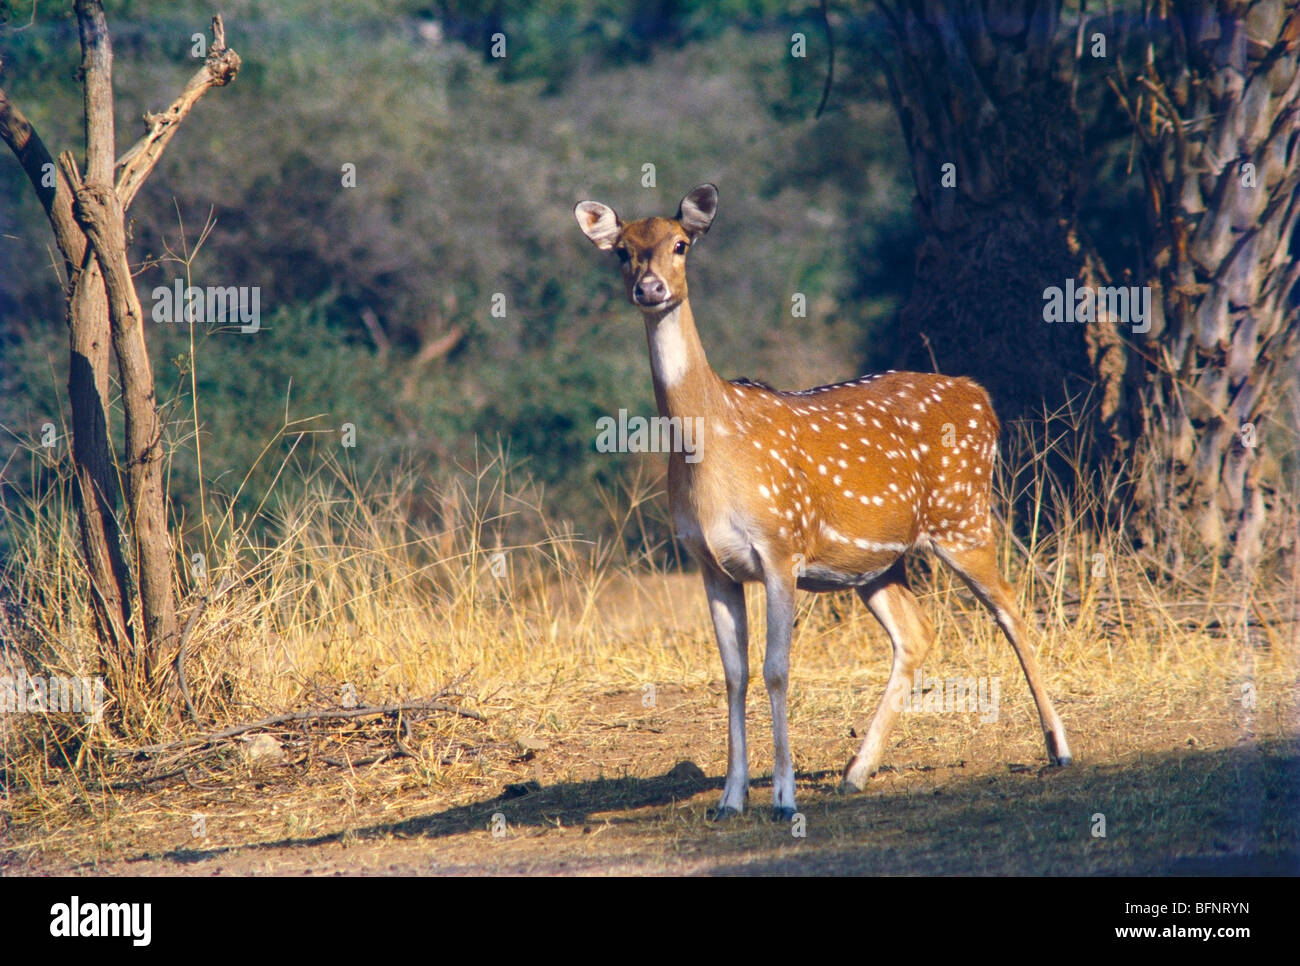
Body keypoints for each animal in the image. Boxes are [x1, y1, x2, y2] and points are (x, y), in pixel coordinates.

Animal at [574, 184, 1072, 820]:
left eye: (681, 244)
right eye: (623, 251)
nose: (651, 287)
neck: (710, 451)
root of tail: (981, 397)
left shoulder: (780, 545)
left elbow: (776, 670)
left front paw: (784, 797)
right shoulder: (708, 562)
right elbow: (733, 674)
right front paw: (731, 798)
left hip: (962, 516)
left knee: (1010, 608)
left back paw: (1059, 747)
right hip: (879, 560)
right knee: (918, 631)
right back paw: (855, 773)